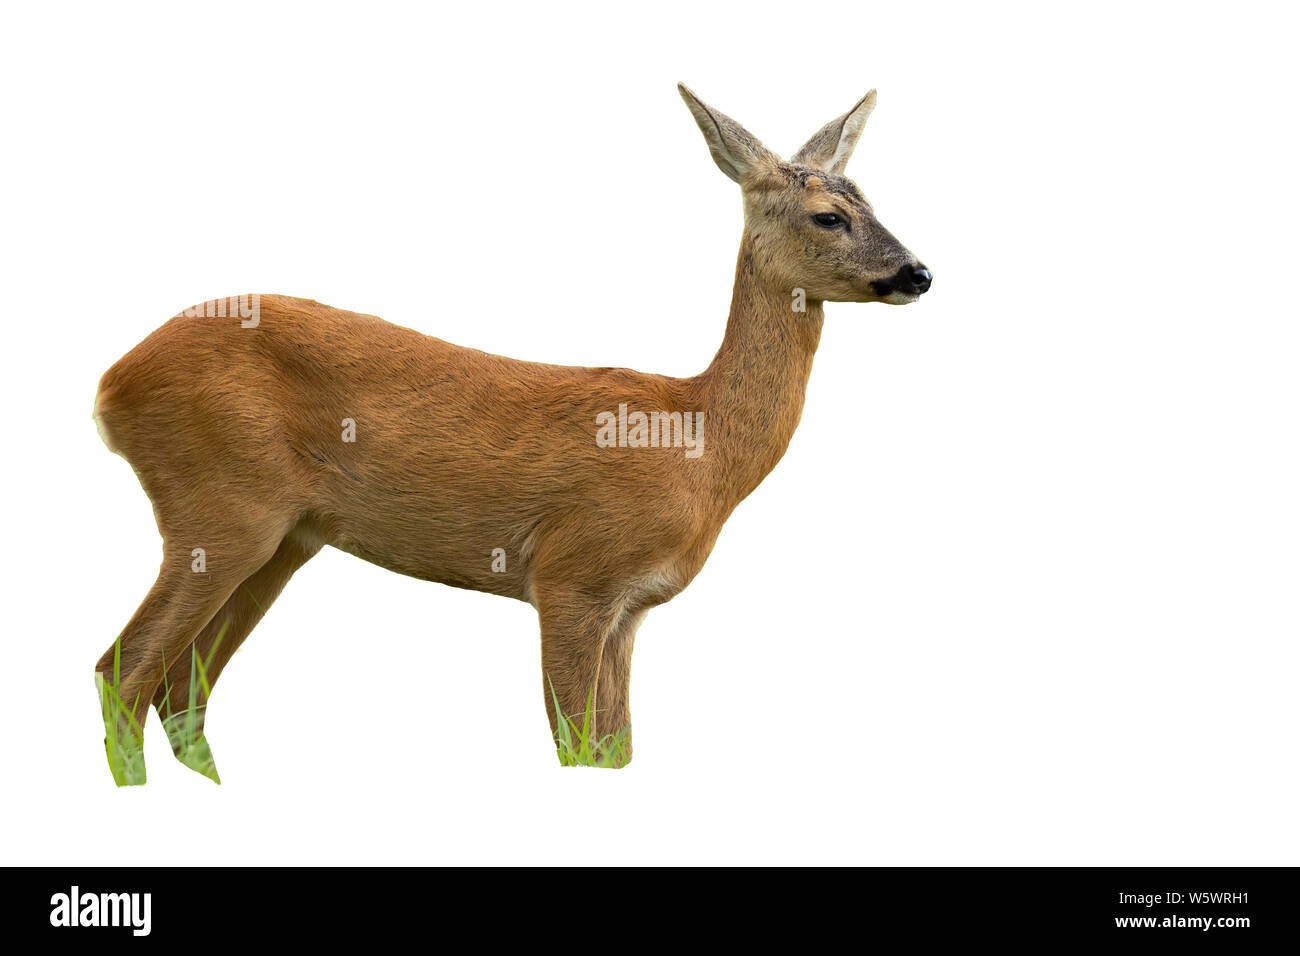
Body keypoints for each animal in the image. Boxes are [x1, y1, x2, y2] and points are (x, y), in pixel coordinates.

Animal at [93, 83, 931, 783]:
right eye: (829, 216)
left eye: (871, 199)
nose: (919, 273)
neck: (698, 442)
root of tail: (111, 382)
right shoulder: (572, 573)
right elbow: (579, 747)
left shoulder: (629, 609)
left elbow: (619, 750)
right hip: (219, 506)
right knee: (123, 672)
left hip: (285, 538)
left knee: (181, 689)